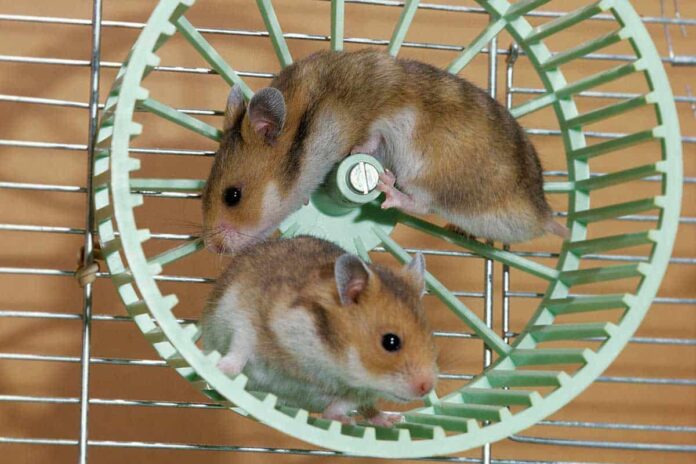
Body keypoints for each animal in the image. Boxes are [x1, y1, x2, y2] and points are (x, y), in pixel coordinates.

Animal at [200, 235, 438, 426]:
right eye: (390, 341)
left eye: (431, 338)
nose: (426, 388)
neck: (329, 358)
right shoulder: (246, 315)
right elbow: (241, 347)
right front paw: (220, 368)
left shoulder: (358, 392)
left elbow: (342, 405)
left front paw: (344, 420)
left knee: (370, 410)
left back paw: (391, 420)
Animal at [201, 49, 568, 253]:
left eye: (232, 196)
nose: (210, 246)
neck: (312, 115)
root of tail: (541, 213)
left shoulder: (378, 119)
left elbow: (369, 140)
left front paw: (357, 152)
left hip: (429, 177)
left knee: (420, 204)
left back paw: (388, 188)